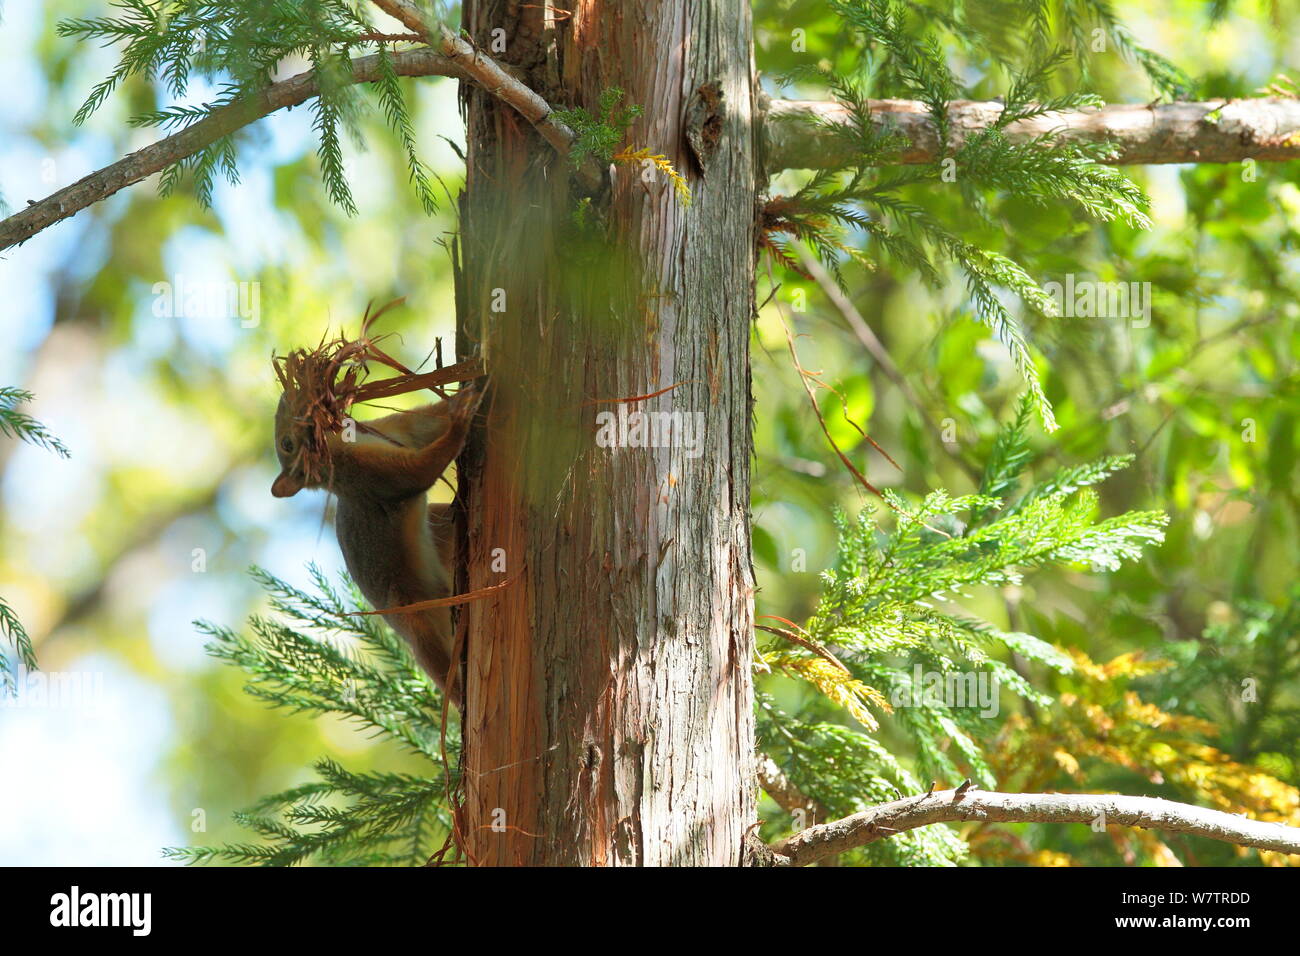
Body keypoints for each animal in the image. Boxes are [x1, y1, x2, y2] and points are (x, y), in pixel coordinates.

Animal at [271, 386, 479, 706]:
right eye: (287, 444)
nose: (286, 395)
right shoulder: (368, 476)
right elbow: (415, 472)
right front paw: (460, 421)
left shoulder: (390, 432)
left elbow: (424, 424)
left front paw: (467, 388)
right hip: (412, 616)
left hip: (441, 530)